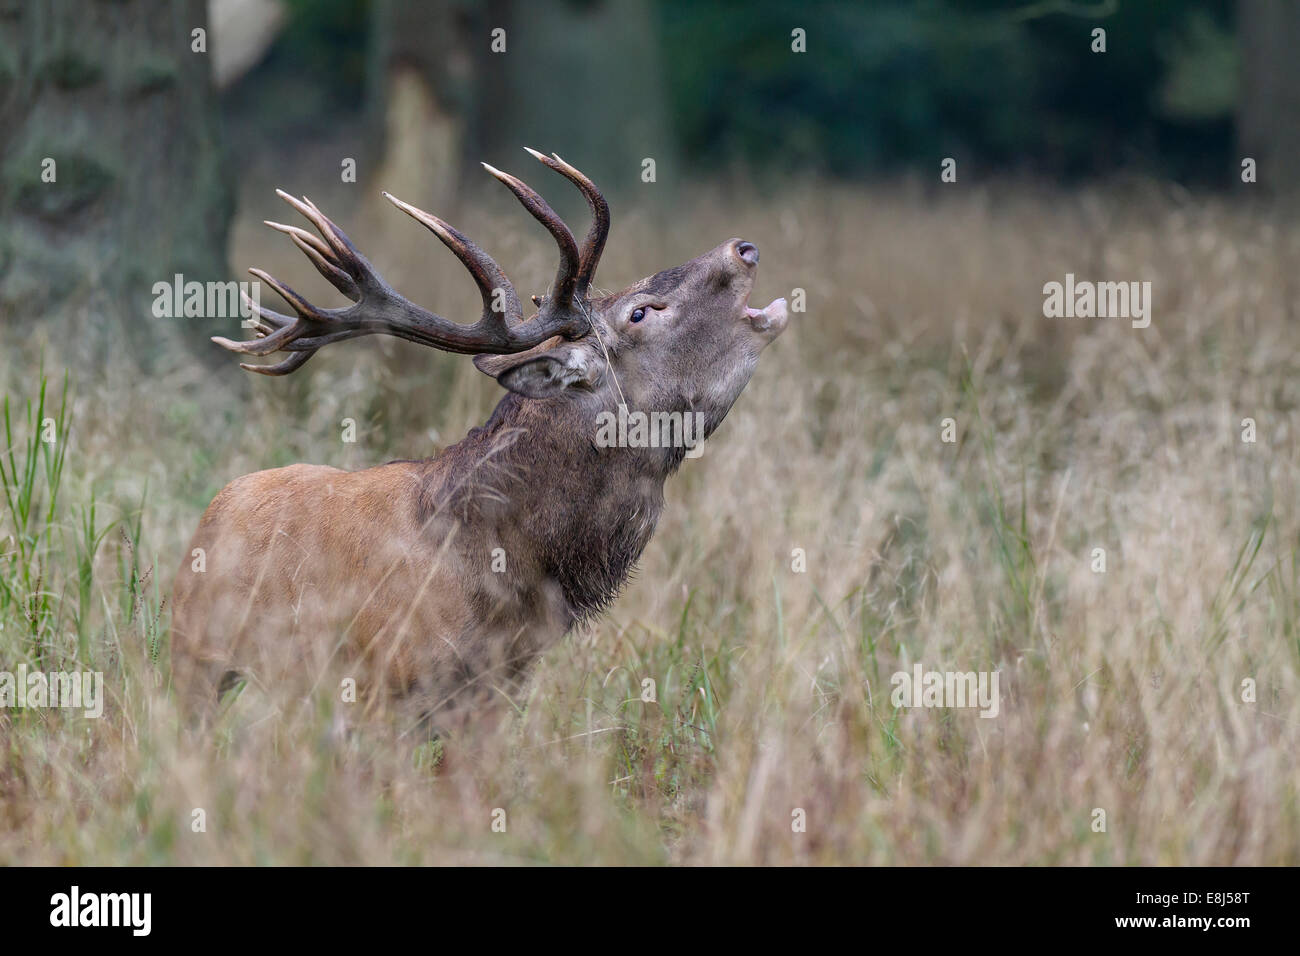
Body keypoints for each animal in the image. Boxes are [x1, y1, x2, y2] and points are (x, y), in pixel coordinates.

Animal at [169, 150, 788, 736]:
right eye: (639, 312)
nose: (742, 247)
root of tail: (214, 509)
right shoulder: (380, 687)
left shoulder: (497, 691)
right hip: (196, 658)